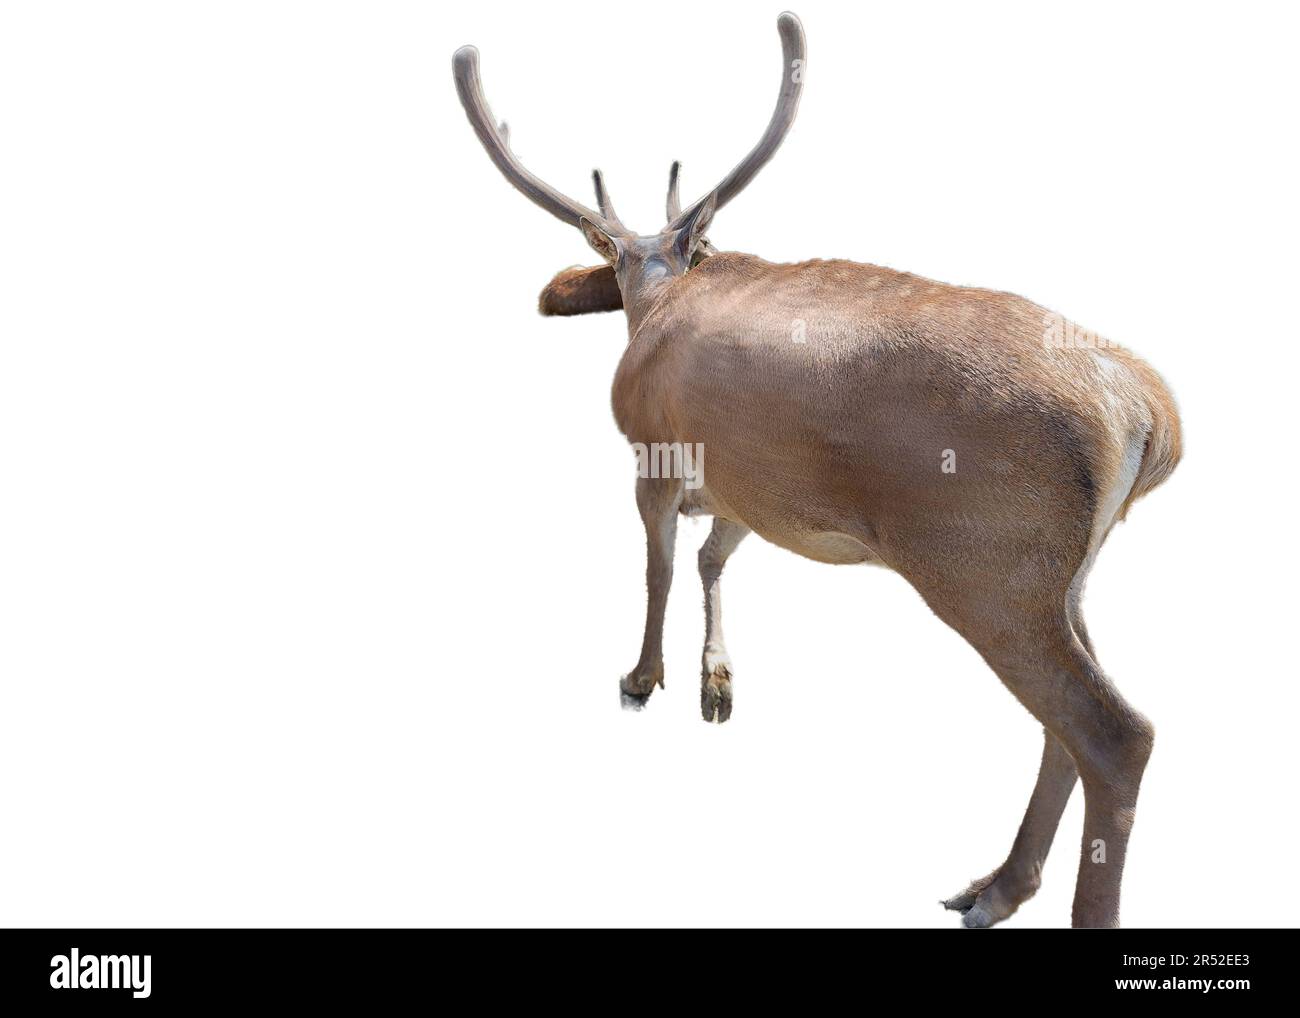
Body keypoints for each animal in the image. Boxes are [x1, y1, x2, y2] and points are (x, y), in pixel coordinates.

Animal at [452, 12, 1181, 928]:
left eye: (613, 260)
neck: (655, 299)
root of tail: (1150, 414)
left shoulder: (654, 450)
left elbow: (658, 566)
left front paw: (643, 677)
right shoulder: (748, 491)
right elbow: (711, 558)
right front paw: (716, 681)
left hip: (985, 567)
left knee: (1116, 731)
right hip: (1064, 576)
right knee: (1069, 719)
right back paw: (997, 884)